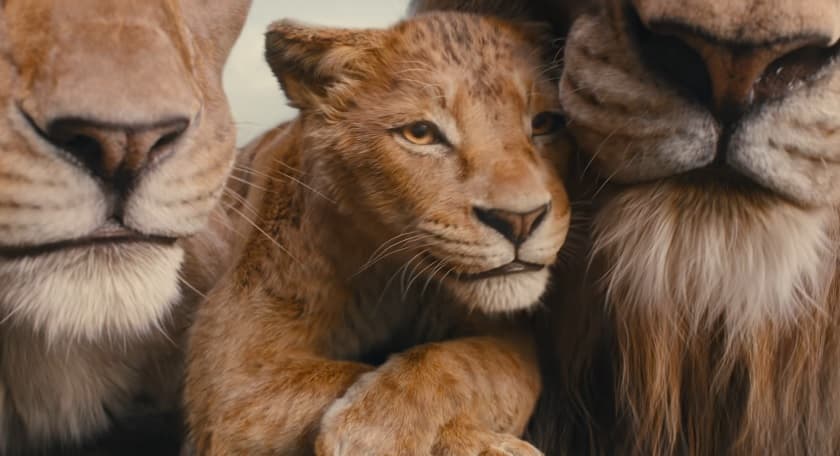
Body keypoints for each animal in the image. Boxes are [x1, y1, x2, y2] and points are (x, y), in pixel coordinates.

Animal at [184, 12, 572, 456]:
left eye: (544, 123)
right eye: (420, 133)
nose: (520, 220)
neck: (390, 274)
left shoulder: (504, 332)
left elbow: (476, 364)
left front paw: (380, 422)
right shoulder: (234, 377)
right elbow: (340, 373)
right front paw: (378, 432)